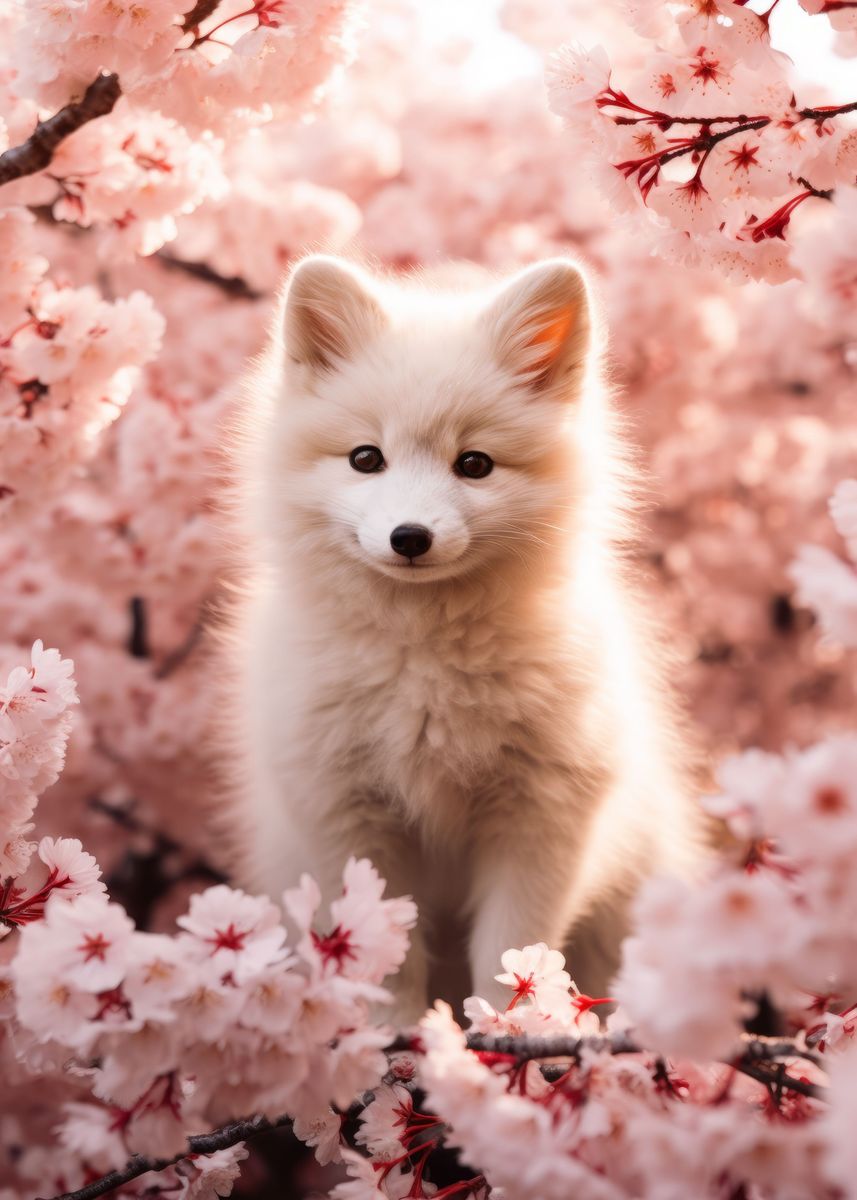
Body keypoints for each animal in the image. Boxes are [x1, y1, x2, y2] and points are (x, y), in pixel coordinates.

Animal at [223, 253, 703, 1024]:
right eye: (366, 458)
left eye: (474, 464)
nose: (409, 537)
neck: (425, 665)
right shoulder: (344, 813)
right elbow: (382, 951)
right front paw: (391, 1034)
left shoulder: (542, 814)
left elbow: (514, 948)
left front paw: (509, 1033)